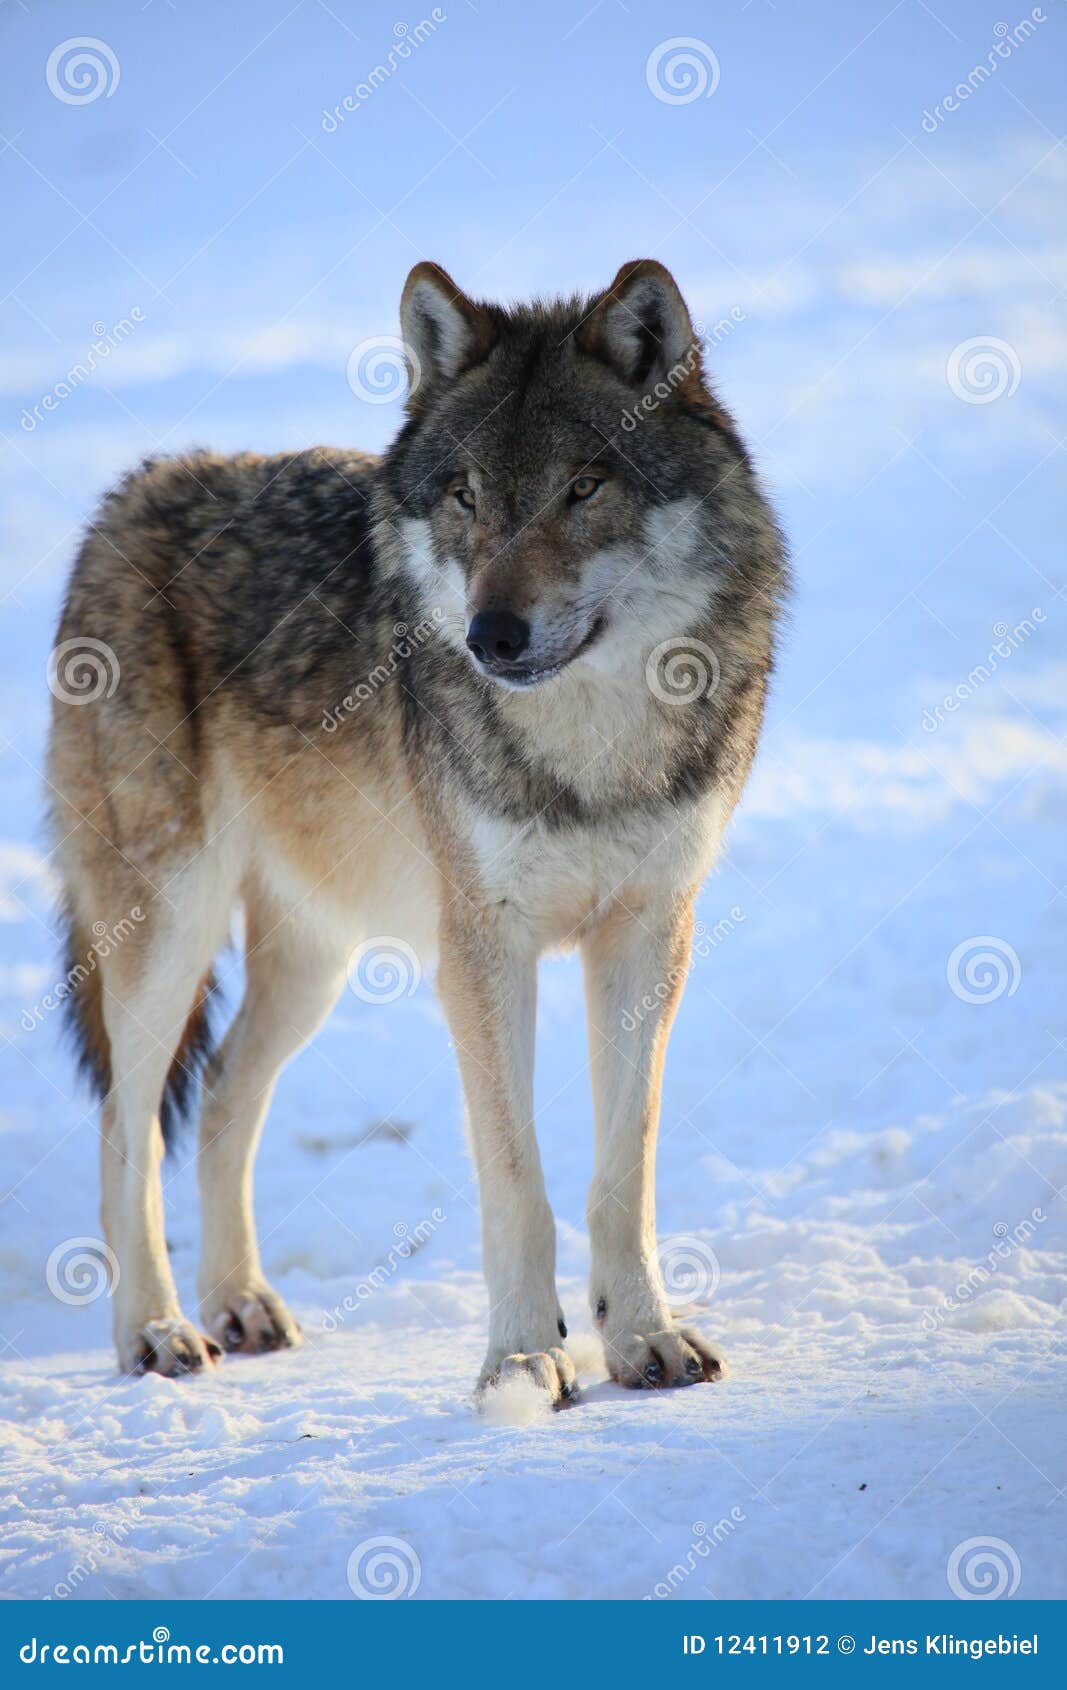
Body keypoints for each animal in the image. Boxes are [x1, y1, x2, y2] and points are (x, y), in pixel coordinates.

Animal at [47, 260, 787, 1404]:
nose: (491, 636)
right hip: (167, 930)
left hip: (315, 955)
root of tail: (133, 489)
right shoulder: (482, 949)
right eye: (465, 495)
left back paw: (241, 1304)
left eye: (582, 488)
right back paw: (157, 1331)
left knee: (220, 1094)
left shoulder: (647, 935)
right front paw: (523, 1360)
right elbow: (518, 1178)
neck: (589, 746)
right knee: (124, 1129)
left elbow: (622, 1171)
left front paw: (641, 1340)